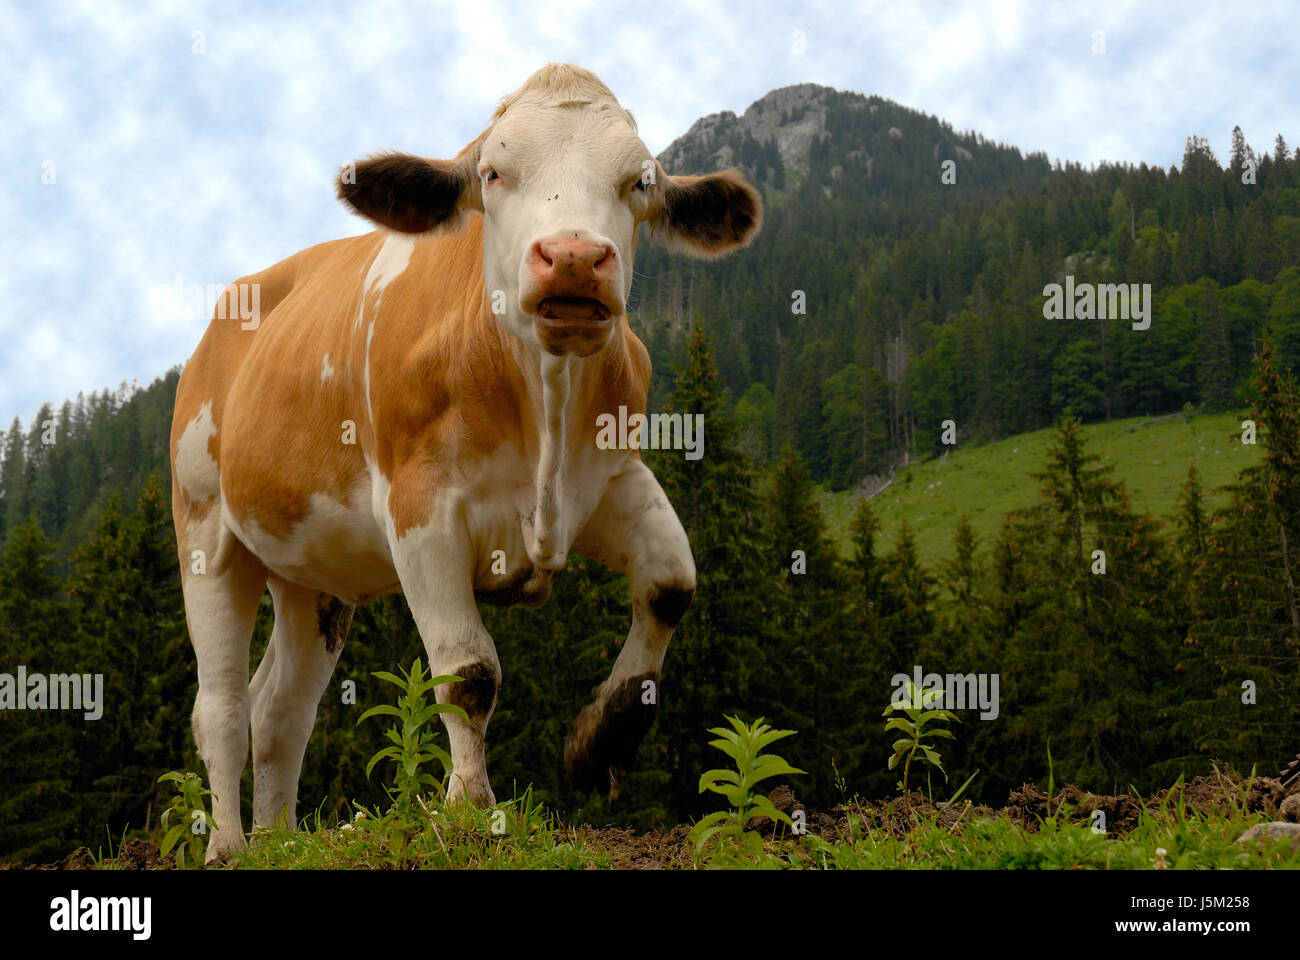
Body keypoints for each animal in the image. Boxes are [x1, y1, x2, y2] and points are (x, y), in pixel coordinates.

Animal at [169, 63, 762, 860]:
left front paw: (598, 744)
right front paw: (470, 805)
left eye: (640, 181)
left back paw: (281, 841)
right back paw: (230, 847)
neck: (540, 395)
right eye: (493, 172)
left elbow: (671, 585)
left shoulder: (610, 478)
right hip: (206, 530)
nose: (575, 256)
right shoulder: (421, 509)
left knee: (280, 710)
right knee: (223, 708)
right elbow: (468, 670)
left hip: (311, 576)